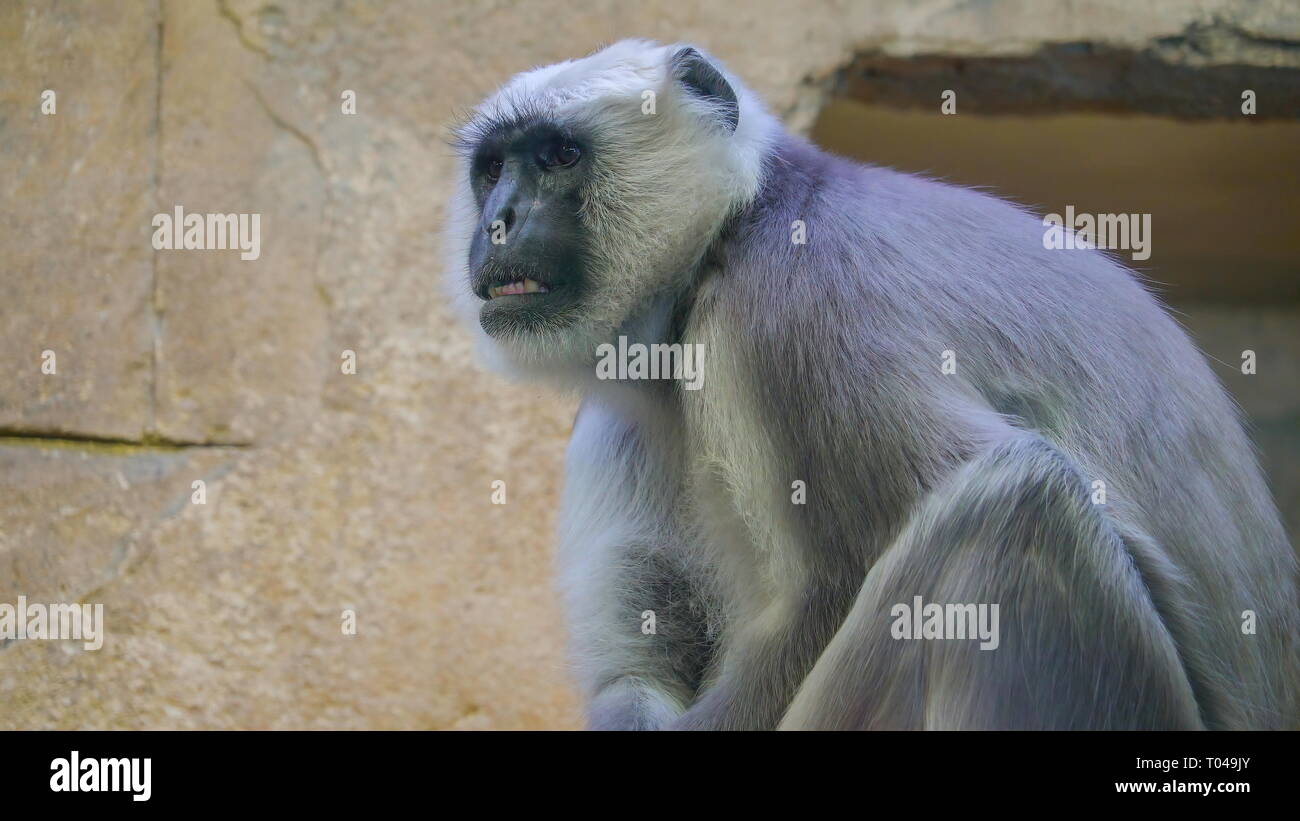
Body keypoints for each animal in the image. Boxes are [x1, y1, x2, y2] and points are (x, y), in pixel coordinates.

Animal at [444, 40, 1299, 730]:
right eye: (492, 170)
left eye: (558, 156)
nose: (498, 220)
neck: (741, 222)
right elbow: (641, 661)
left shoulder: (799, 304)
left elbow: (828, 595)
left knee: (1022, 499)